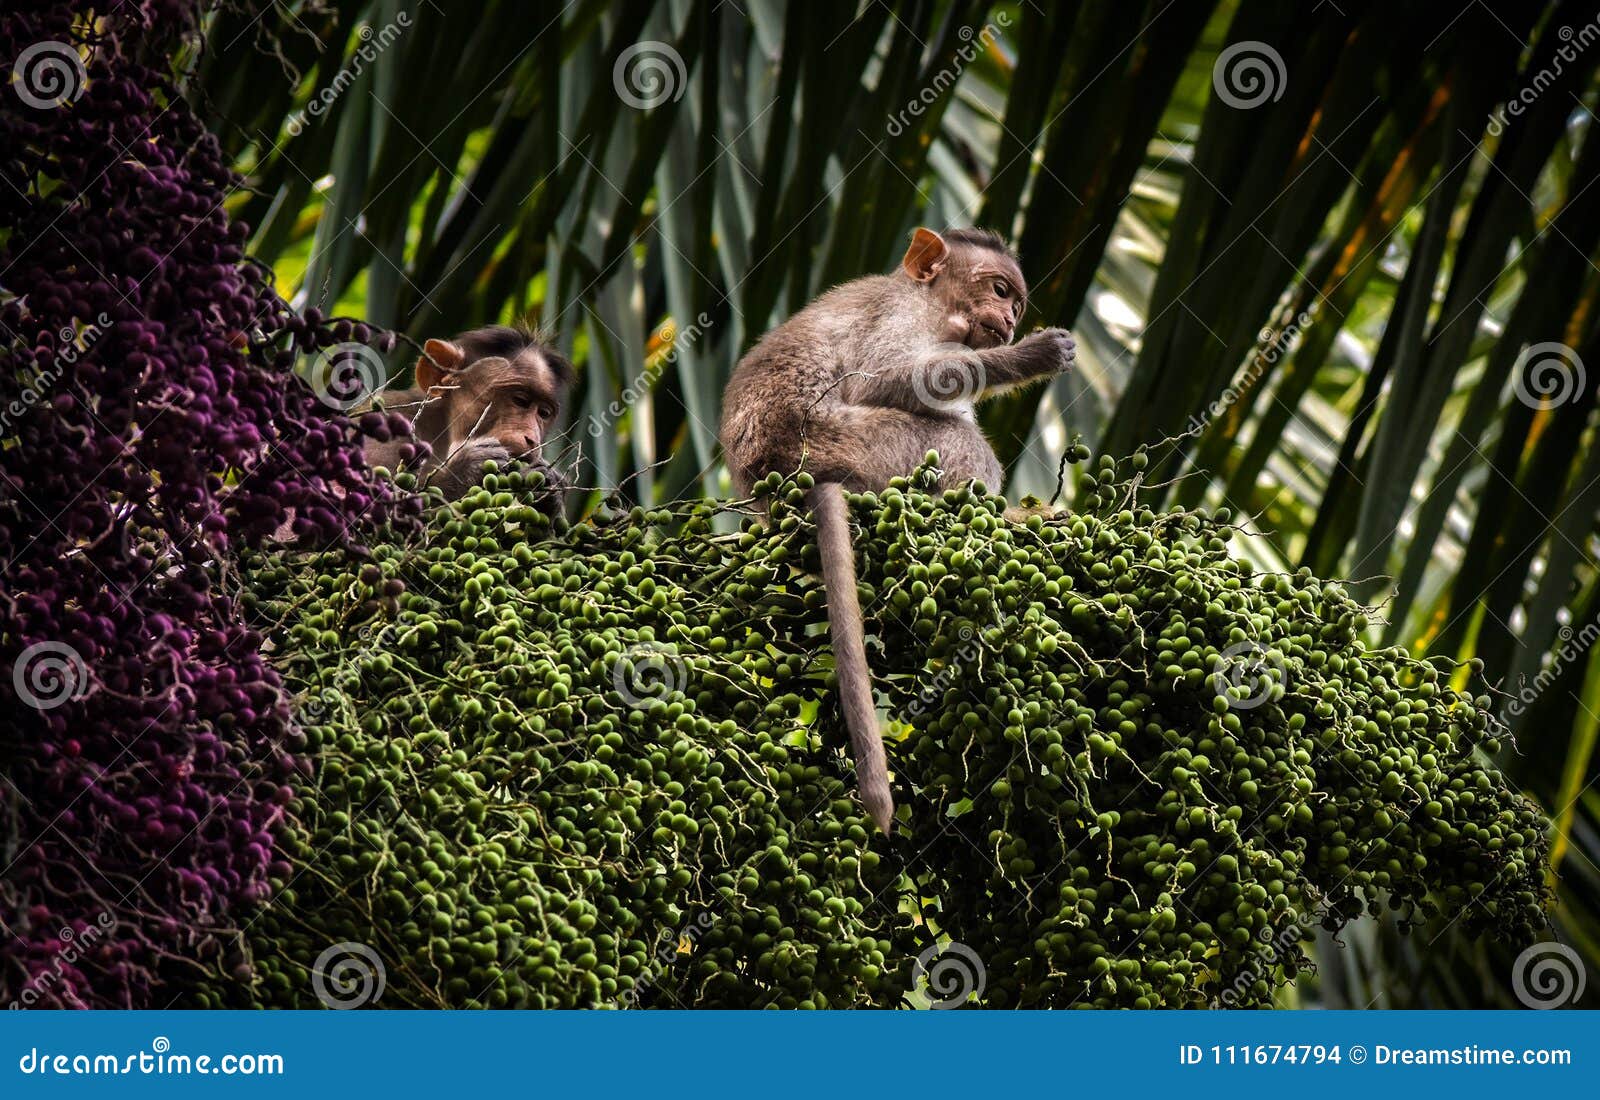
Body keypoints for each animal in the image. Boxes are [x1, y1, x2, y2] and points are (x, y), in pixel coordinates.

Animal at [719, 227, 1076, 832]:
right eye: (1000, 290)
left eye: (1015, 303)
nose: (1009, 320)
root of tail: (790, 473)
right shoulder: (904, 318)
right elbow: (883, 379)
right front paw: (1031, 356)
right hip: (864, 446)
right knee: (955, 436)